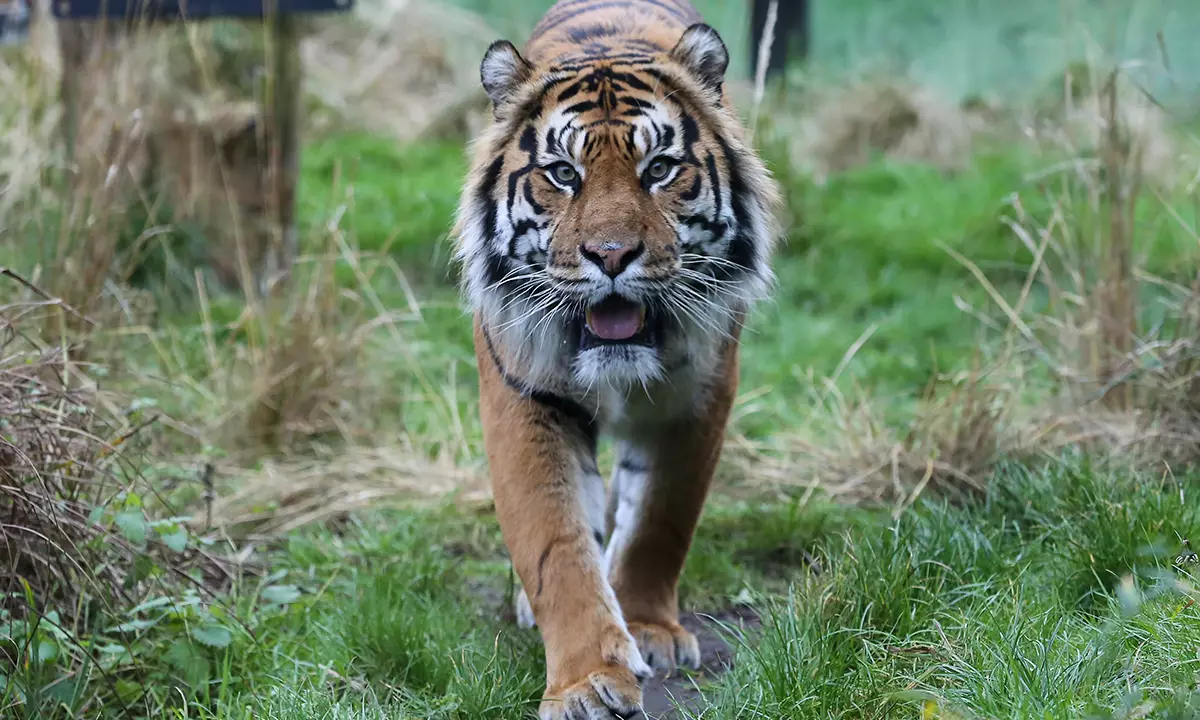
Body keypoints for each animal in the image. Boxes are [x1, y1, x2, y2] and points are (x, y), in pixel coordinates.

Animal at [453, 2, 782, 715]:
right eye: (563, 174)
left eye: (658, 169)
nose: (610, 255)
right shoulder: (526, 398)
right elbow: (556, 545)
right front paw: (586, 683)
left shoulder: (698, 395)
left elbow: (660, 519)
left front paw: (650, 630)